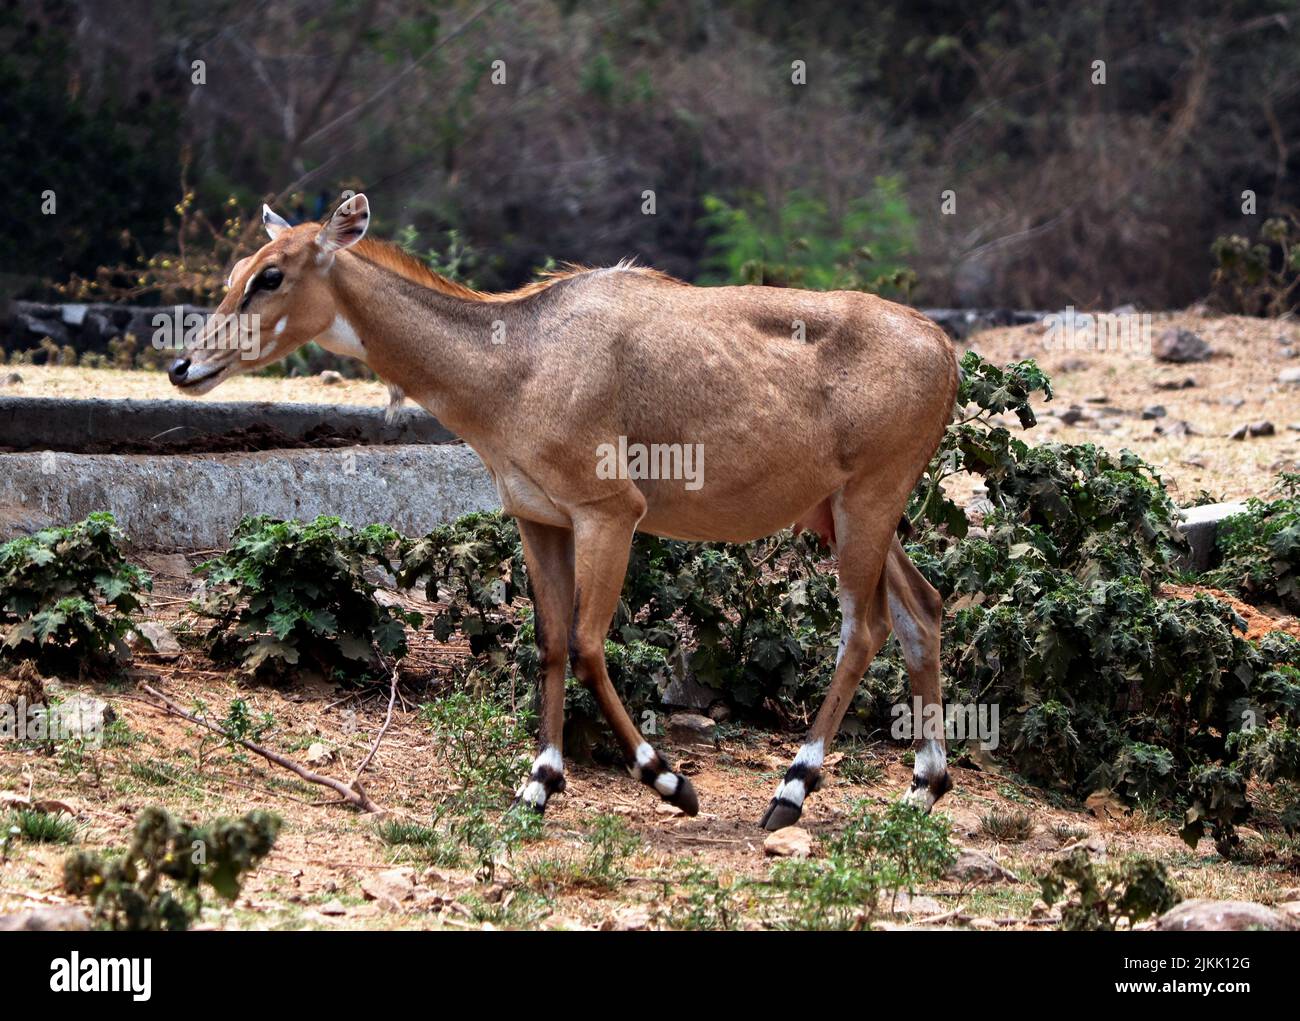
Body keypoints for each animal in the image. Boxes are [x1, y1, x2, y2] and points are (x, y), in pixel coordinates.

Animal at [169, 194, 959, 830]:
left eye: (272, 275)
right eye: (238, 268)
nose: (184, 366)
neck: (515, 360)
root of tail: (945, 347)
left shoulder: (609, 512)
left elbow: (585, 644)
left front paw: (670, 782)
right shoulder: (540, 518)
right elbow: (549, 642)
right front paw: (538, 784)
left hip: (868, 500)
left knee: (864, 629)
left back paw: (792, 789)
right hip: (836, 511)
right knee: (922, 609)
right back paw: (923, 786)